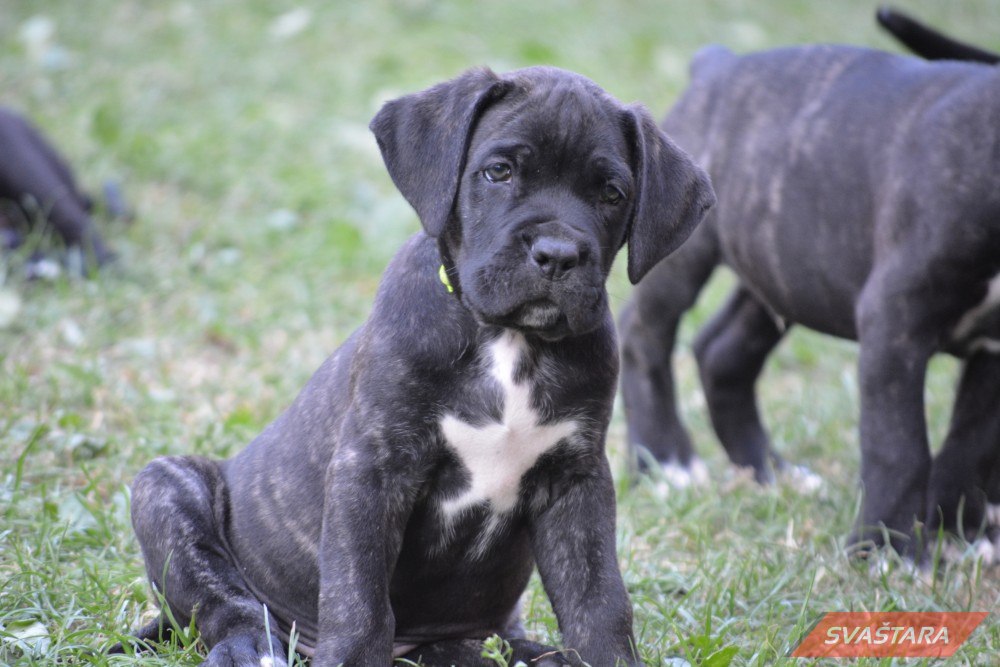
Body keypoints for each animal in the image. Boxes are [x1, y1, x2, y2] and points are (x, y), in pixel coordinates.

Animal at [125, 64, 716, 667]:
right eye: (499, 171)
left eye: (612, 194)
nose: (557, 254)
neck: (509, 340)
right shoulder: (373, 467)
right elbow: (359, 597)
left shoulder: (577, 483)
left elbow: (598, 601)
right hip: (164, 489)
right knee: (225, 601)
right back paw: (251, 646)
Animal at [620, 32, 1000, 552]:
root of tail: (717, 66)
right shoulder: (895, 320)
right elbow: (899, 446)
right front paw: (887, 550)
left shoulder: (993, 352)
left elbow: (972, 441)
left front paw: (962, 534)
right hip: (679, 251)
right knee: (643, 336)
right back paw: (665, 463)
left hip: (781, 269)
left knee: (723, 353)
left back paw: (770, 472)